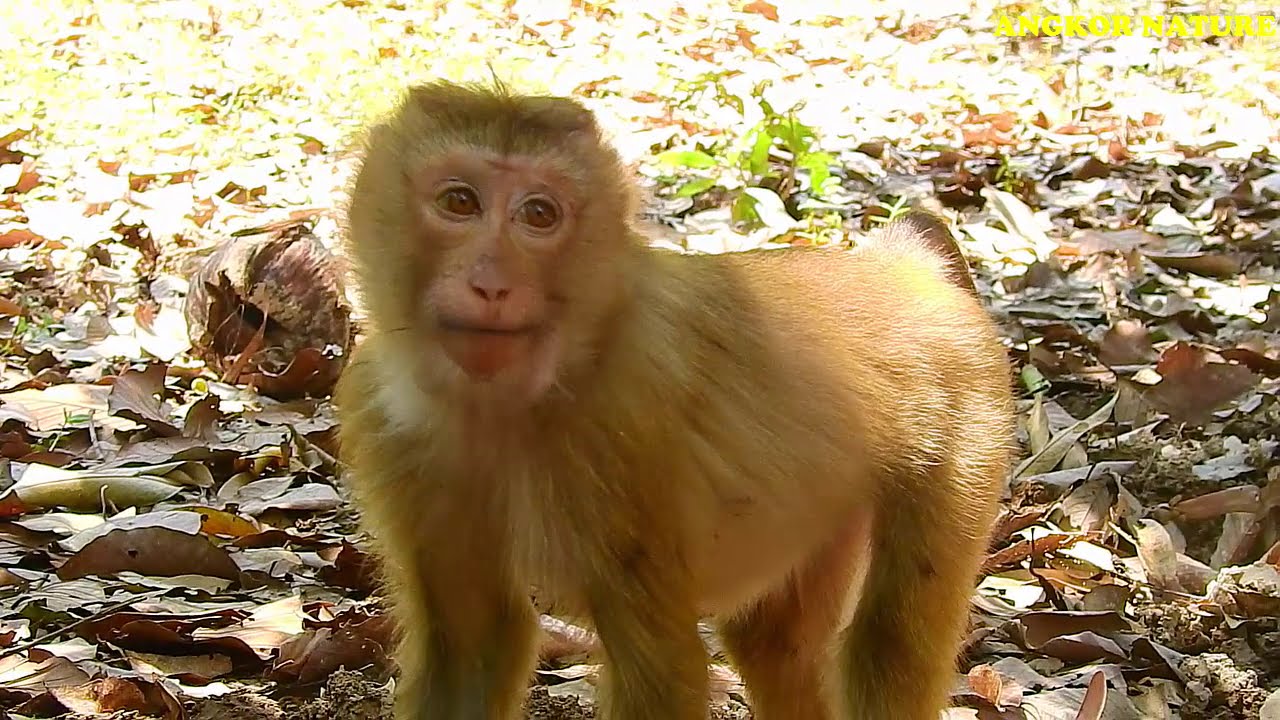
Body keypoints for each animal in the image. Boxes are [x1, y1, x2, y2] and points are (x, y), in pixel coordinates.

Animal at [334, 80, 1015, 720]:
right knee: (776, 643)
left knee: (889, 642)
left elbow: (662, 671)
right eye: (459, 202)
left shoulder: (624, 421)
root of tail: (906, 270)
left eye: (539, 214)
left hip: (969, 420)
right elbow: (473, 643)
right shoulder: (386, 423)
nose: (492, 283)